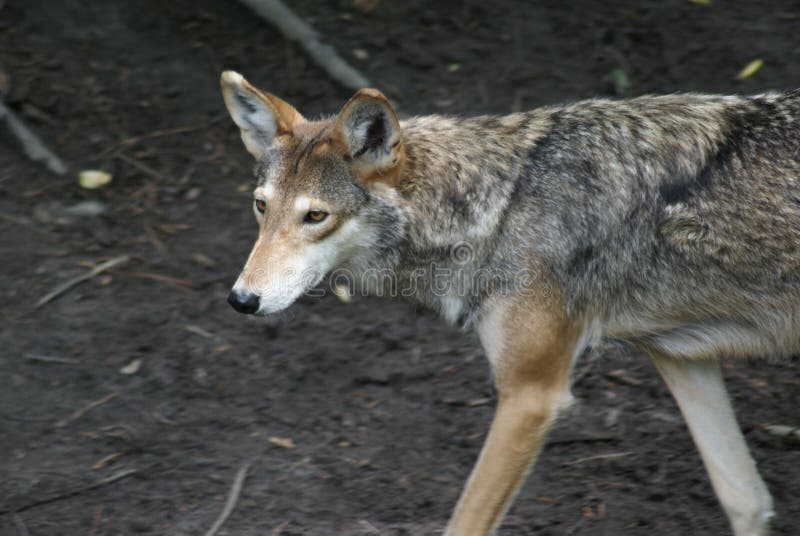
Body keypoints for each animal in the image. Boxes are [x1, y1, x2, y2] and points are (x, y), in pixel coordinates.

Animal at [220, 70, 799, 535]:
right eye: (261, 207)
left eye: (315, 216)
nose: (241, 299)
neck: (500, 207)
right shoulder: (681, 358)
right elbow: (745, 498)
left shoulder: (530, 396)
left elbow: (466, 521)